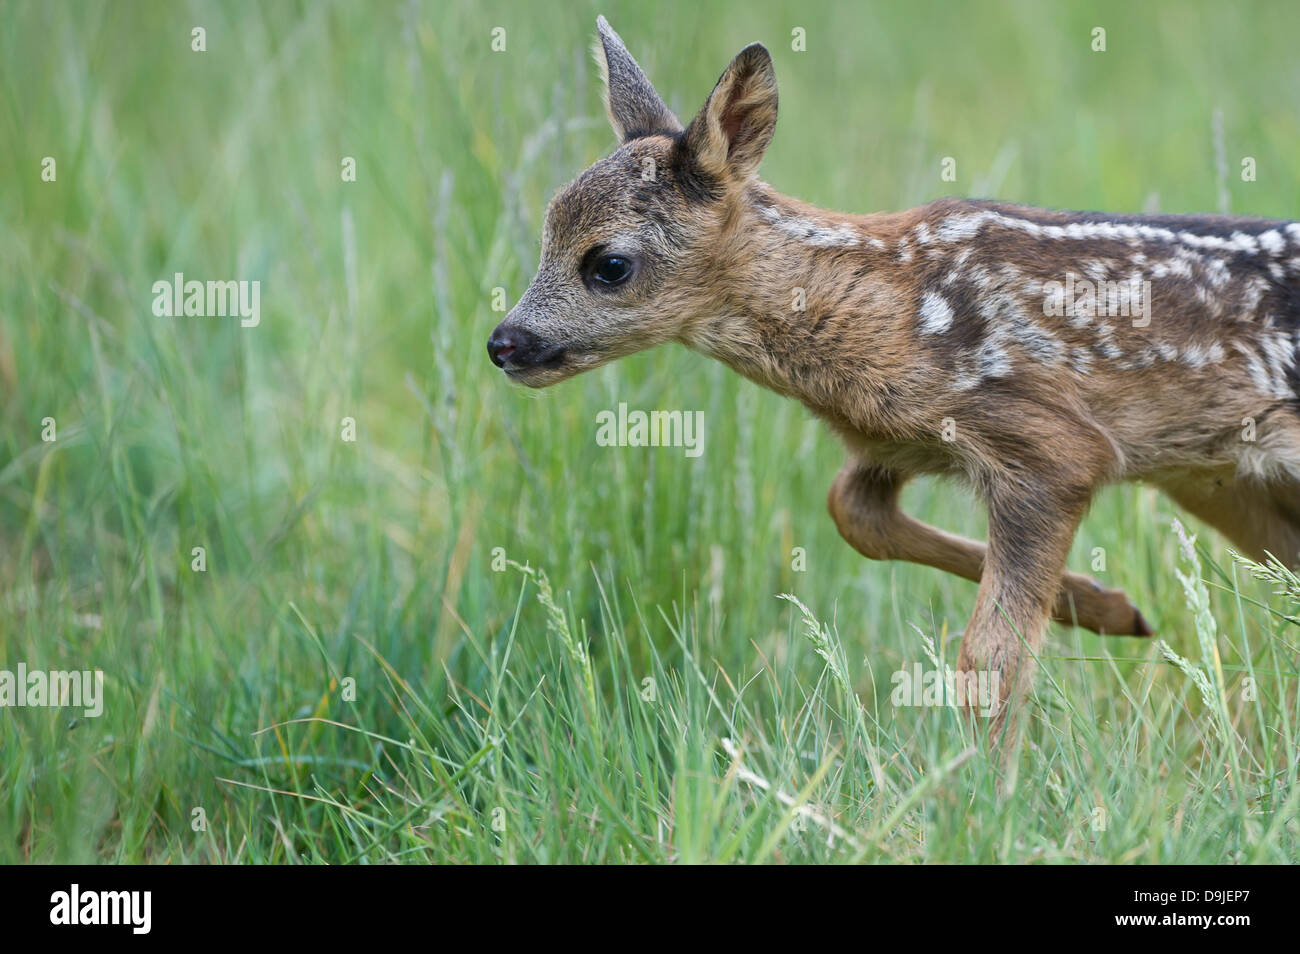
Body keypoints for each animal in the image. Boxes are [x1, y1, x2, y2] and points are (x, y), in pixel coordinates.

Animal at [488, 16, 1300, 744]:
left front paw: (985, 796)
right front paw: (1106, 605)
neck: (892, 312)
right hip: (1223, 484)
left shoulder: (1051, 446)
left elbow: (989, 660)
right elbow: (853, 513)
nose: (504, 343)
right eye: (546, 233)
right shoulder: (894, 445)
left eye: (608, 264)